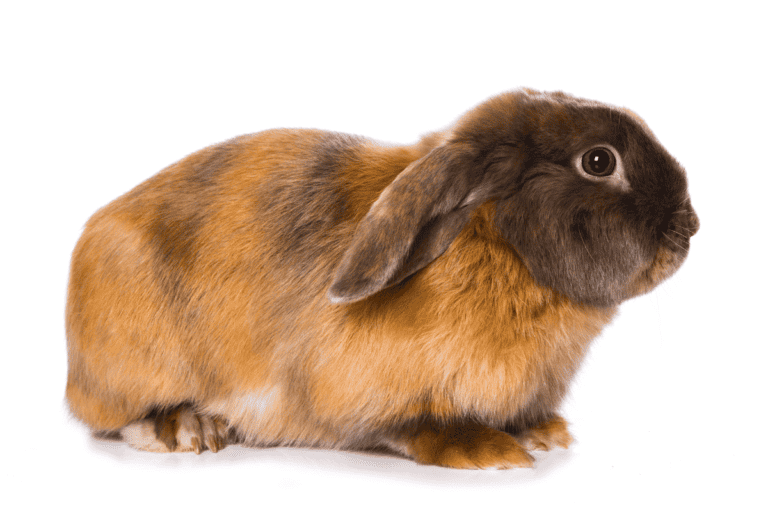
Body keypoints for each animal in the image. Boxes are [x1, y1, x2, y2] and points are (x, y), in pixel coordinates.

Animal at [65, 88, 698, 469]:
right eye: (599, 161)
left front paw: (544, 433)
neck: (494, 246)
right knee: (117, 419)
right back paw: (189, 428)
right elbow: (409, 425)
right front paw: (485, 449)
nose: (689, 225)